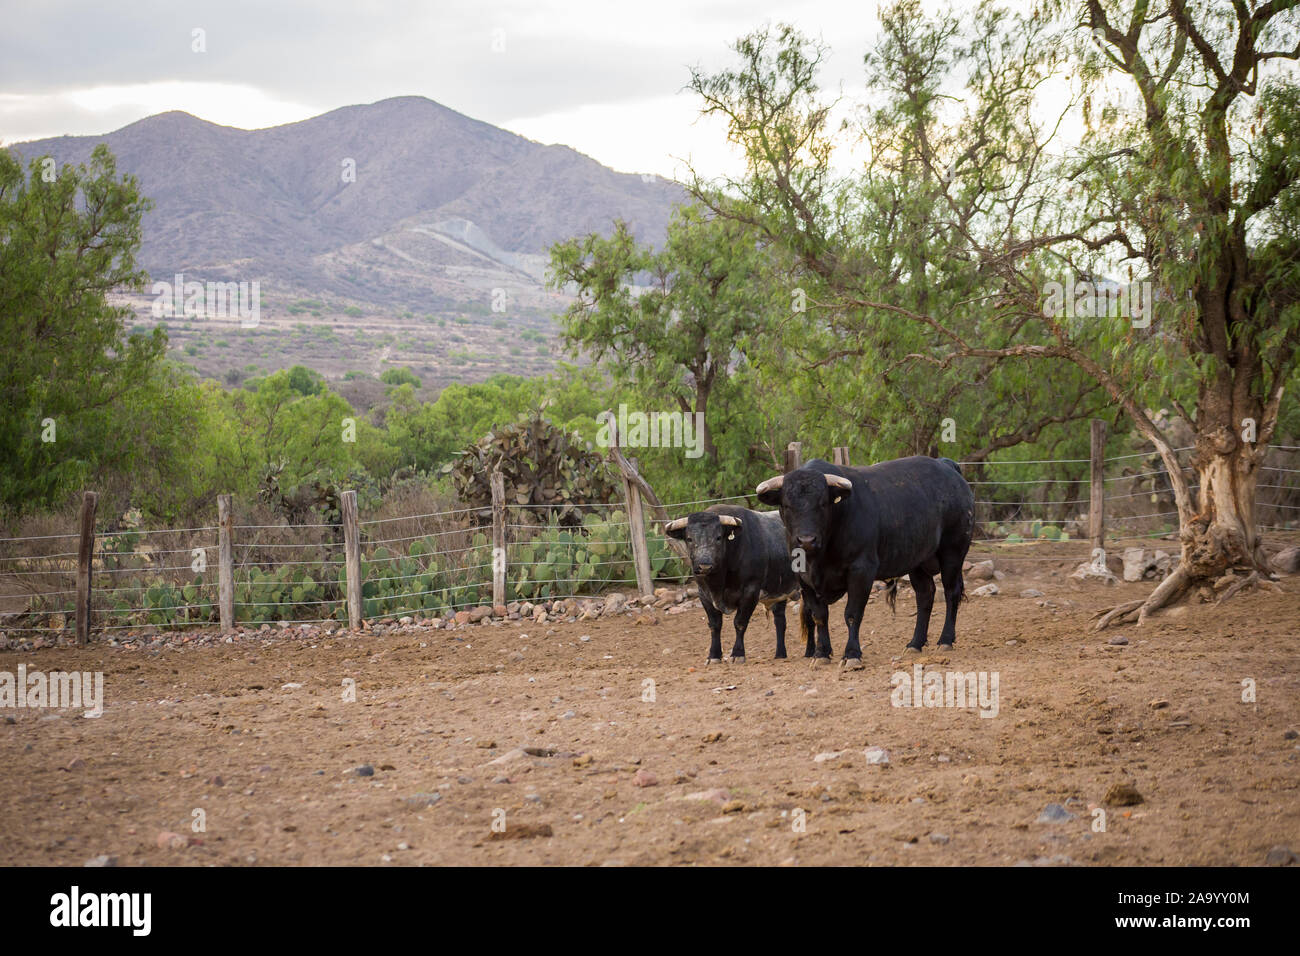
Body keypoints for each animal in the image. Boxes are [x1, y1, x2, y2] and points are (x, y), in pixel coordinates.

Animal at [663, 504, 812, 663]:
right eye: (689, 539)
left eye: (718, 537)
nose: (704, 565)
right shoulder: (704, 594)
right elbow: (715, 625)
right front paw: (713, 655)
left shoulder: (750, 591)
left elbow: (740, 622)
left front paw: (738, 653)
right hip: (780, 590)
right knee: (780, 620)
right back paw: (780, 654)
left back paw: (810, 652)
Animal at [755, 456, 974, 666]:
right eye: (786, 505)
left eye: (823, 503)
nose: (807, 540)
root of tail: (946, 466)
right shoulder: (804, 579)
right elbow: (819, 615)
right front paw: (821, 654)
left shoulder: (861, 571)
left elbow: (852, 614)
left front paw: (852, 654)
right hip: (918, 561)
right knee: (925, 596)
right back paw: (915, 643)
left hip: (952, 552)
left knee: (951, 592)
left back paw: (945, 640)